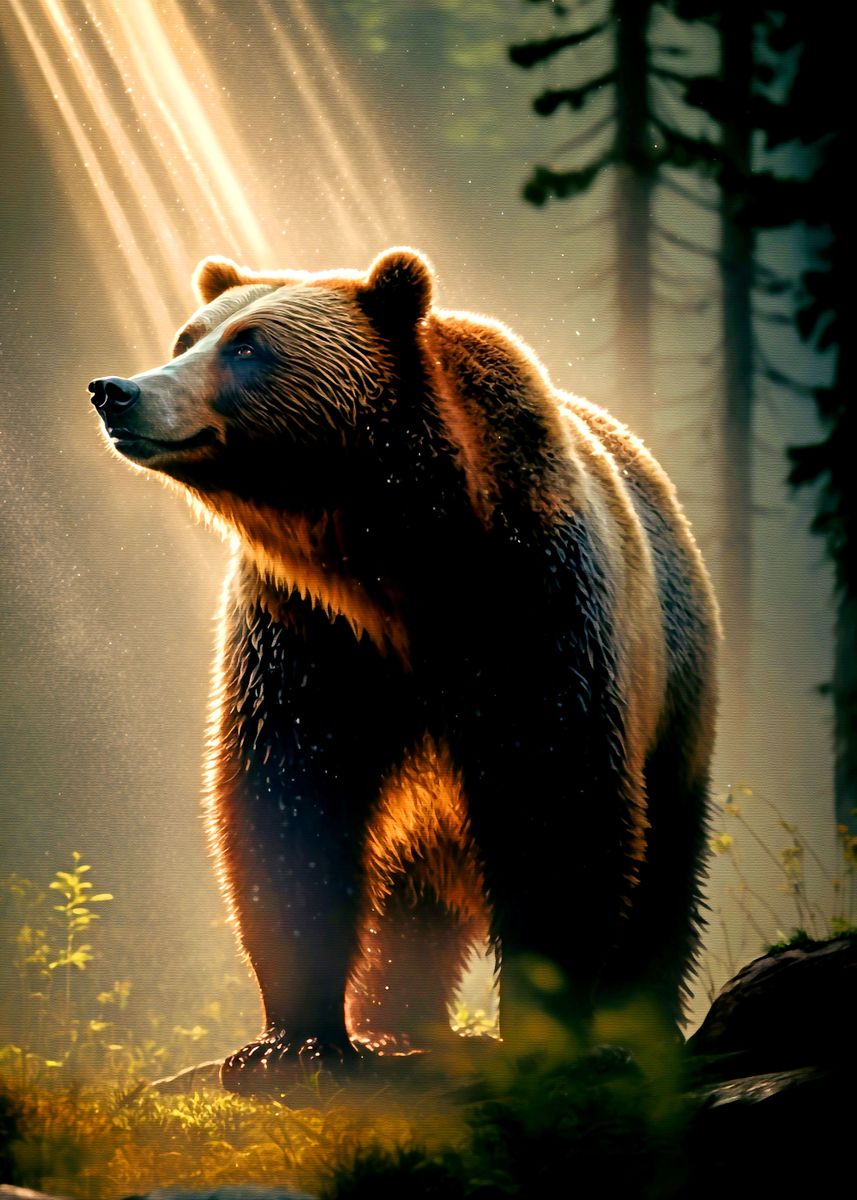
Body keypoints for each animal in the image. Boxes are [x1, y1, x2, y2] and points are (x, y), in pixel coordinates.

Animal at [88, 247, 719, 1091]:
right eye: (187, 337)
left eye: (248, 346)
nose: (118, 392)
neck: (393, 555)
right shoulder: (306, 633)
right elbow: (289, 799)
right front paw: (287, 1045)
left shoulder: (535, 604)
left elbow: (555, 801)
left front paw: (546, 1033)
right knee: (413, 892)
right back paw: (396, 1023)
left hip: (676, 688)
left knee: (664, 863)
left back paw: (638, 1025)